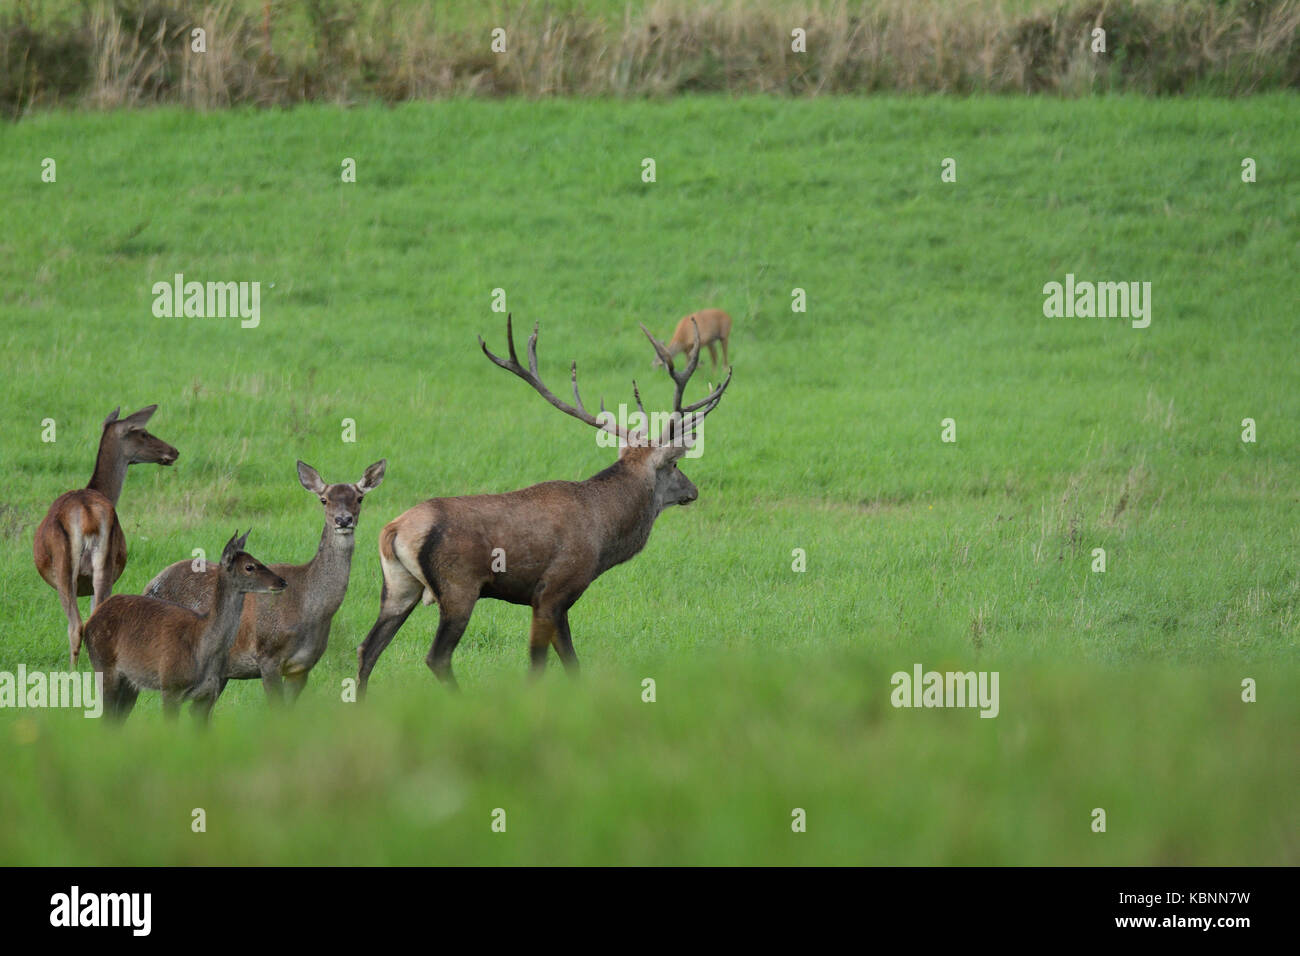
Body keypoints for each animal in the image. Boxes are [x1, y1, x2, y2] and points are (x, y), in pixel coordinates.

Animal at [33, 405, 179, 668]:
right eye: (143, 433)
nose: (174, 451)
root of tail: (88, 513)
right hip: (102, 565)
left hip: (67, 568)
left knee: (76, 625)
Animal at [82, 531, 286, 723]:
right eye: (249, 567)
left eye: (257, 560)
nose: (281, 581)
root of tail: (90, 620)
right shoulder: (171, 687)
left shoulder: (207, 692)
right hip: (103, 667)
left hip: (130, 681)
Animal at [144, 459, 386, 704]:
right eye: (324, 499)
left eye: (359, 498)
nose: (343, 519)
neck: (309, 609)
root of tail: (150, 584)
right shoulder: (268, 656)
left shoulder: (303, 667)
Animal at [355, 314, 730, 694]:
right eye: (675, 464)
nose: (693, 490)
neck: (604, 535)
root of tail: (393, 530)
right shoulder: (553, 589)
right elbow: (542, 663)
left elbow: (571, 663)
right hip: (459, 587)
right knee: (437, 657)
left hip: (398, 587)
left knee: (367, 648)